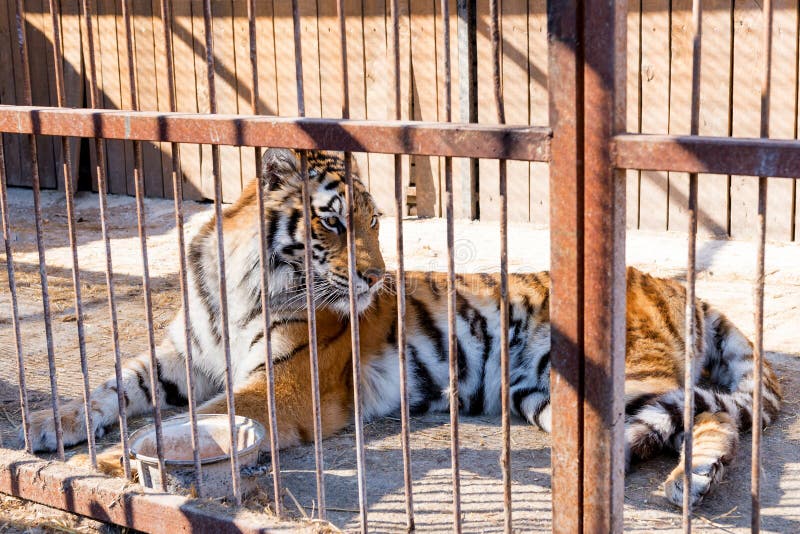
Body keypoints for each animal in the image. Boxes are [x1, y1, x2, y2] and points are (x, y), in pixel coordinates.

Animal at [22, 149, 781, 508]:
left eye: (375, 222)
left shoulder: (286, 383)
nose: (376, 278)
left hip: (624, 373)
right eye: (334, 222)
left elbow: (209, 415)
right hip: (543, 396)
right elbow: (110, 387)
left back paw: (692, 483)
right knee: (668, 423)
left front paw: (125, 459)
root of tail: (673, 282)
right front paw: (48, 425)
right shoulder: (182, 356)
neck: (240, 286)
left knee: (716, 417)